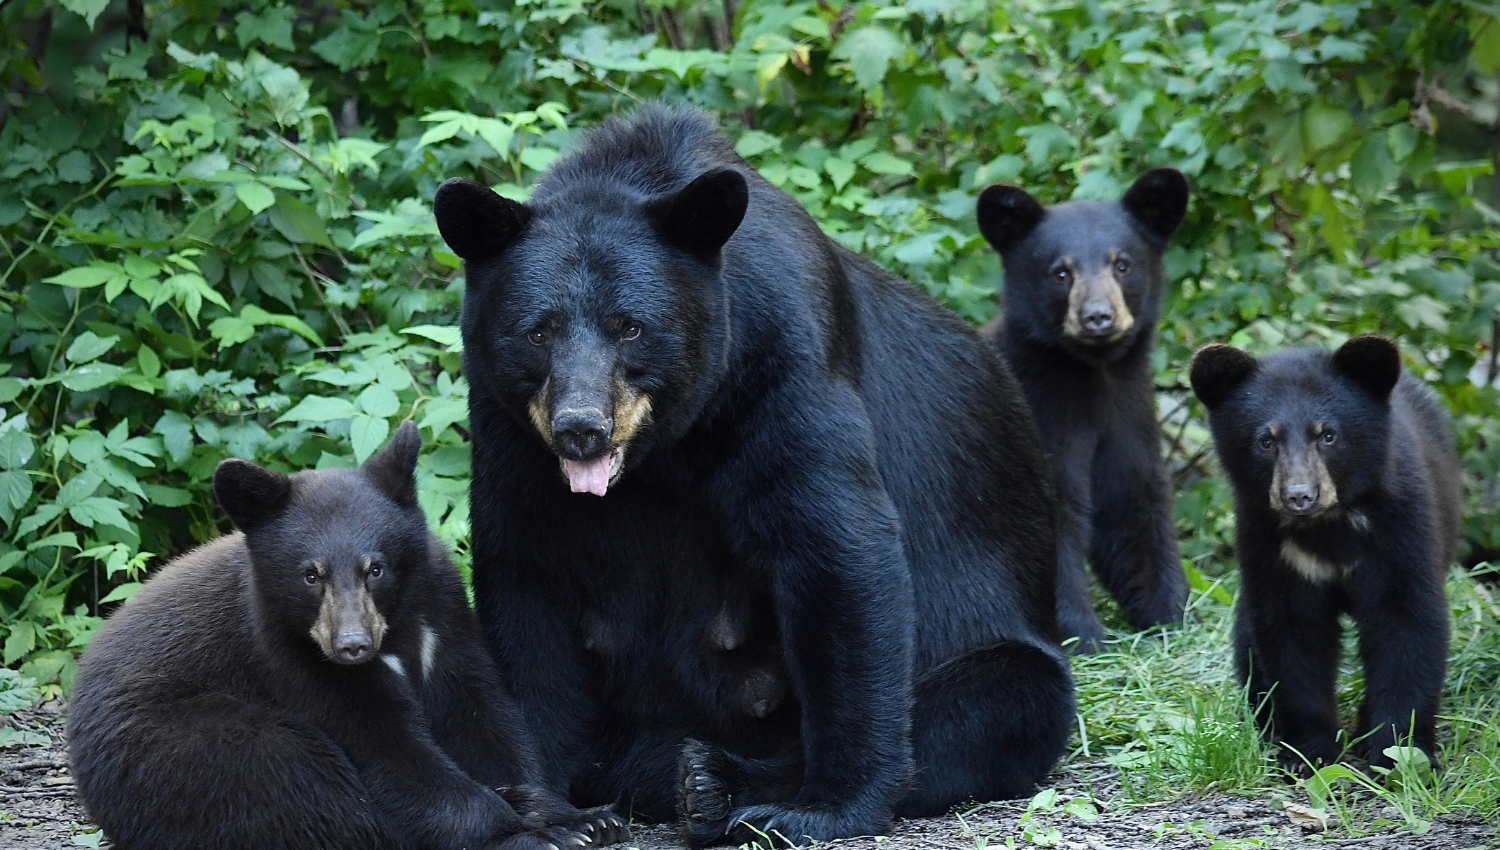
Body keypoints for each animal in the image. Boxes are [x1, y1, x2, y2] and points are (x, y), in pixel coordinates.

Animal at [67, 421, 629, 850]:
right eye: (309, 575)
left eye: (375, 568)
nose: (352, 645)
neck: (393, 634)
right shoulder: (290, 657)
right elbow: (390, 755)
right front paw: (533, 833)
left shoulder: (442, 617)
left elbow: (483, 718)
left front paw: (580, 815)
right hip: (182, 746)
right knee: (296, 780)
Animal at [432, 105, 1075, 847]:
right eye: (539, 331)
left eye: (630, 327)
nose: (581, 427)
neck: (664, 445)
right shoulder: (507, 424)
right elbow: (527, 577)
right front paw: (553, 814)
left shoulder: (780, 359)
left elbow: (834, 548)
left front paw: (827, 804)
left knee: (999, 700)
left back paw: (713, 784)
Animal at [976, 168, 1192, 650]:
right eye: (1061, 272)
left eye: (1122, 264)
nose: (1098, 317)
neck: (1093, 376)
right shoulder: (1040, 419)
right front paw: (1085, 637)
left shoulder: (1128, 415)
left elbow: (1132, 506)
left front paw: (1173, 614)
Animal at [1189, 335, 1461, 773]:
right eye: (1266, 440)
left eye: (1328, 435)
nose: (1299, 496)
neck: (1328, 527)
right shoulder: (1269, 544)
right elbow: (1292, 636)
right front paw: (1308, 753)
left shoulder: (1400, 530)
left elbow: (1407, 624)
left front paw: (1398, 755)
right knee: (1249, 642)